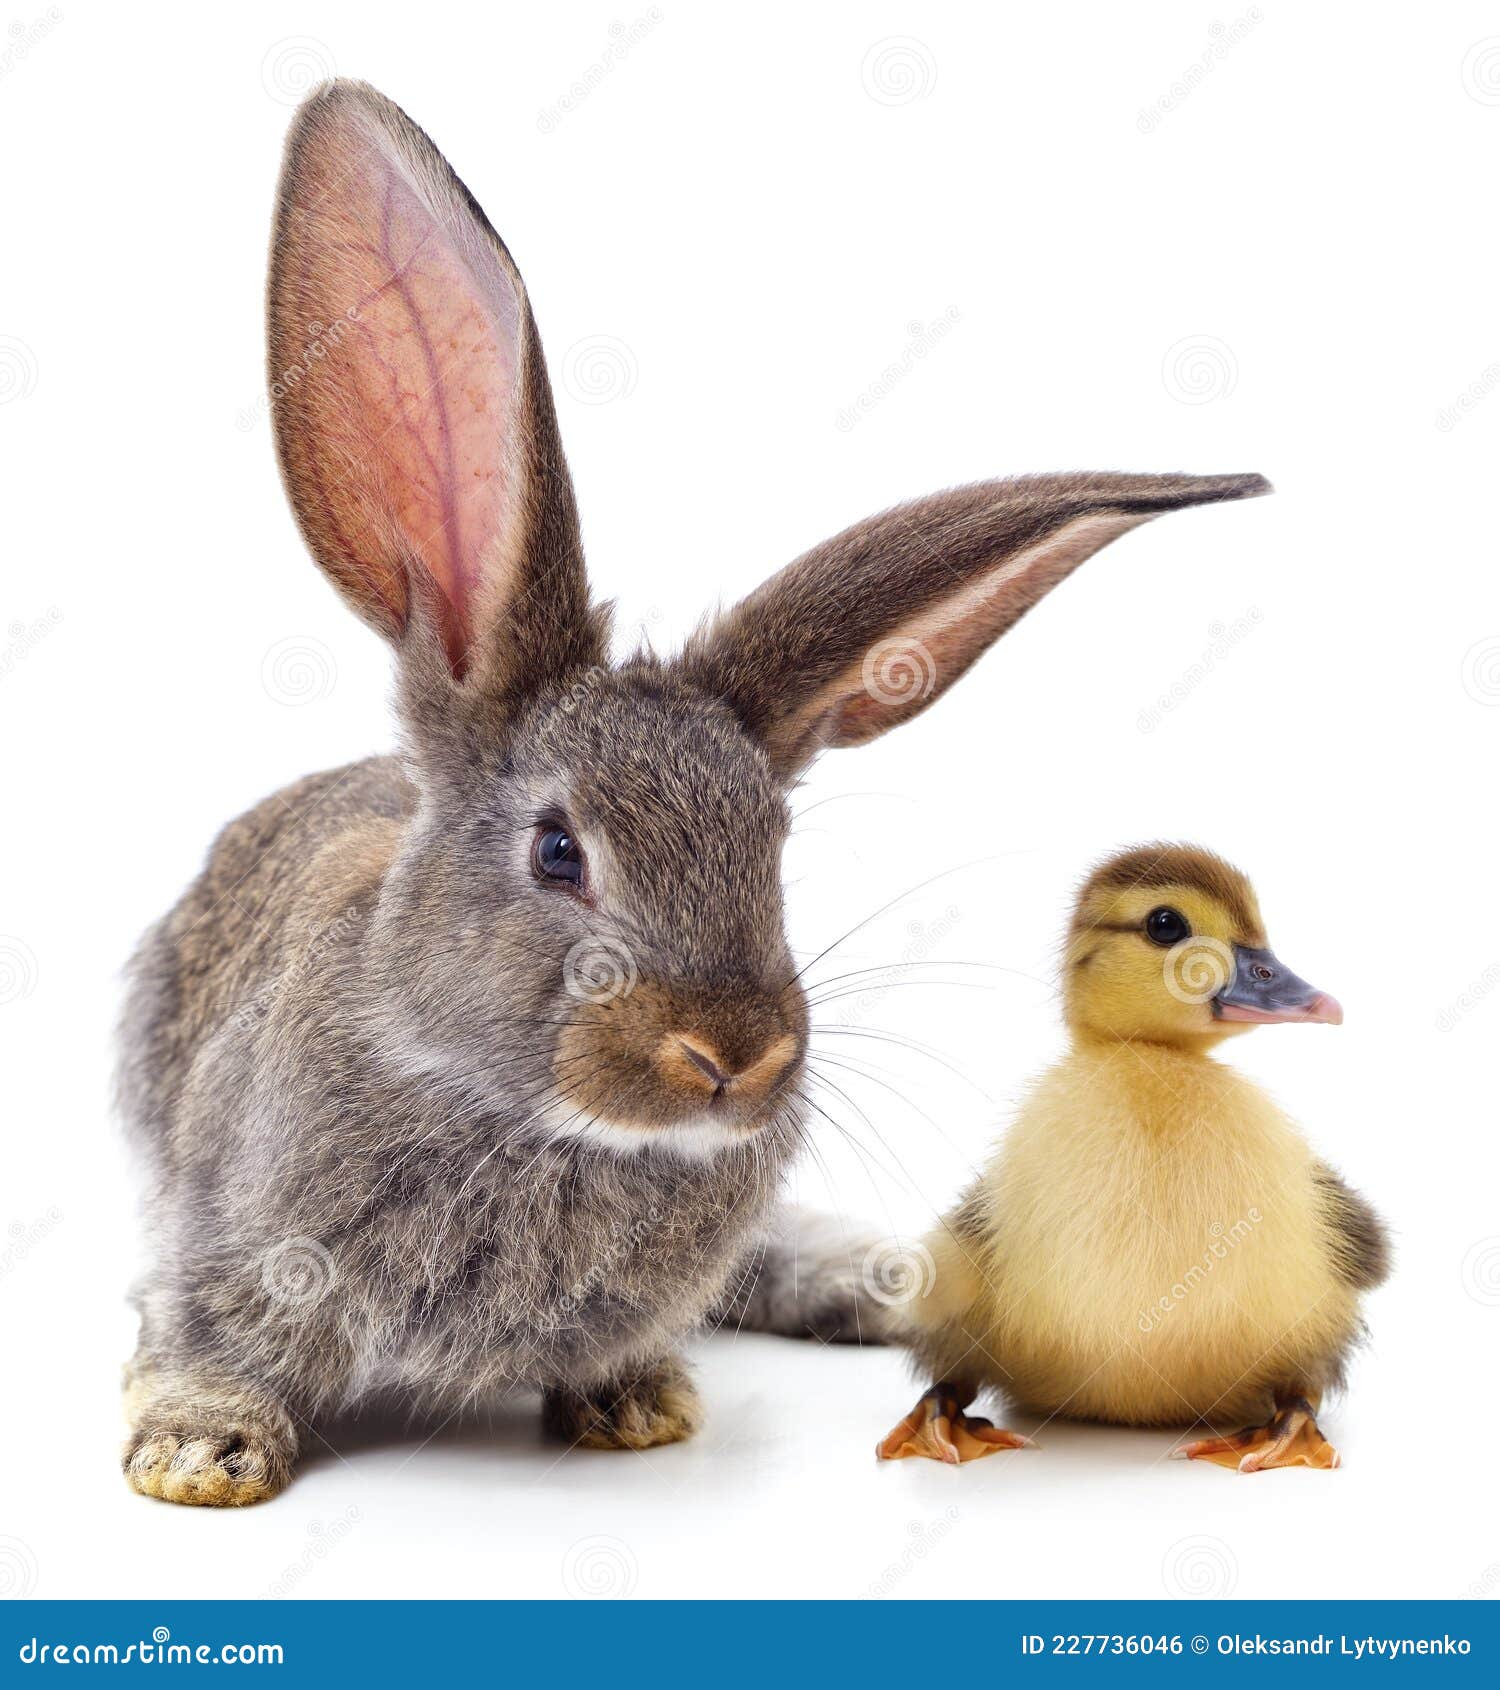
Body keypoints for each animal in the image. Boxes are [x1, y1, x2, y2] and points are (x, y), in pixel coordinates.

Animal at [116, 78, 1272, 1506]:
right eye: (559, 852)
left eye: (772, 848)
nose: (736, 1054)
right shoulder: (224, 1241)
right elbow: (206, 1339)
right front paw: (199, 1453)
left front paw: (635, 1403)